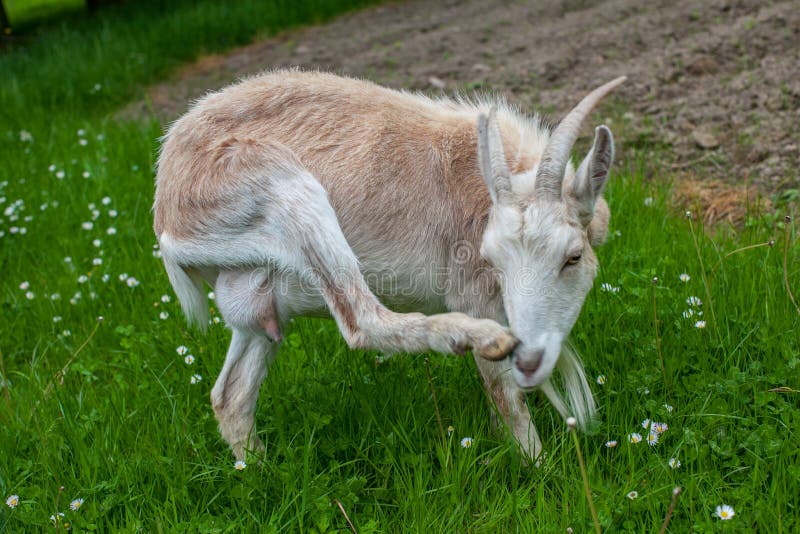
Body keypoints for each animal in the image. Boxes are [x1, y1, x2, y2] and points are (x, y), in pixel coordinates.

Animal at [153, 70, 624, 461]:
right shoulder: (474, 293)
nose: (528, 359)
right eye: (494, 259)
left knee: (230, 395)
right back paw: (476, 337)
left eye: (573, 257)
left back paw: (260, 473)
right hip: (287, 193)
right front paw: (539, 469)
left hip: (260, 295)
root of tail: (165, 202)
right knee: (362, 323)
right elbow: (504, 394)